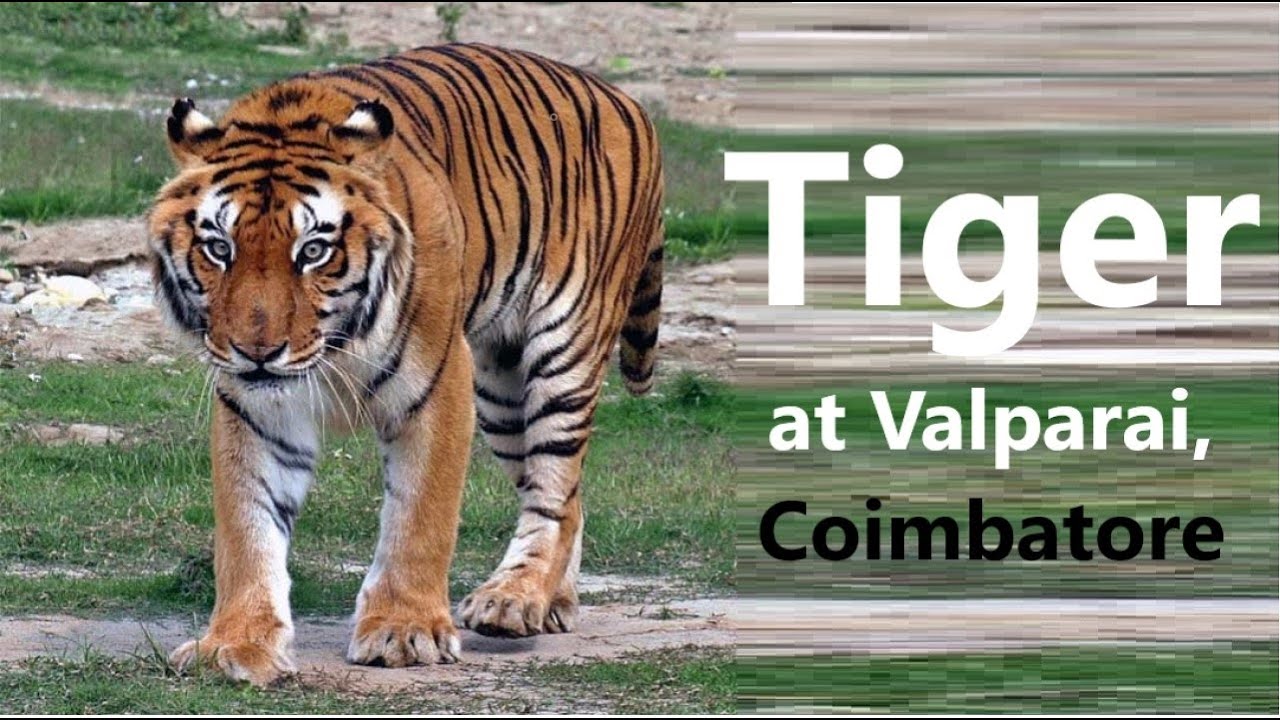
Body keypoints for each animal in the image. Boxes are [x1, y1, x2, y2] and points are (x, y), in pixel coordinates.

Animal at [146, 43, 664, 685]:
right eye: (220, 248)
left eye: (312, 251)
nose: (257, 351)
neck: (334, 346)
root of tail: (625, 99)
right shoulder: (256, 408)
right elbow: (247, 525)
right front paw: (234, 645)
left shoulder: (438, 383)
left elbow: (420, 515)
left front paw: (404, 631)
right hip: (502, 390)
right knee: (571, 495)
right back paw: (553, 602)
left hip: (562, 351)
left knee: (555, 491)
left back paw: (515, 599)